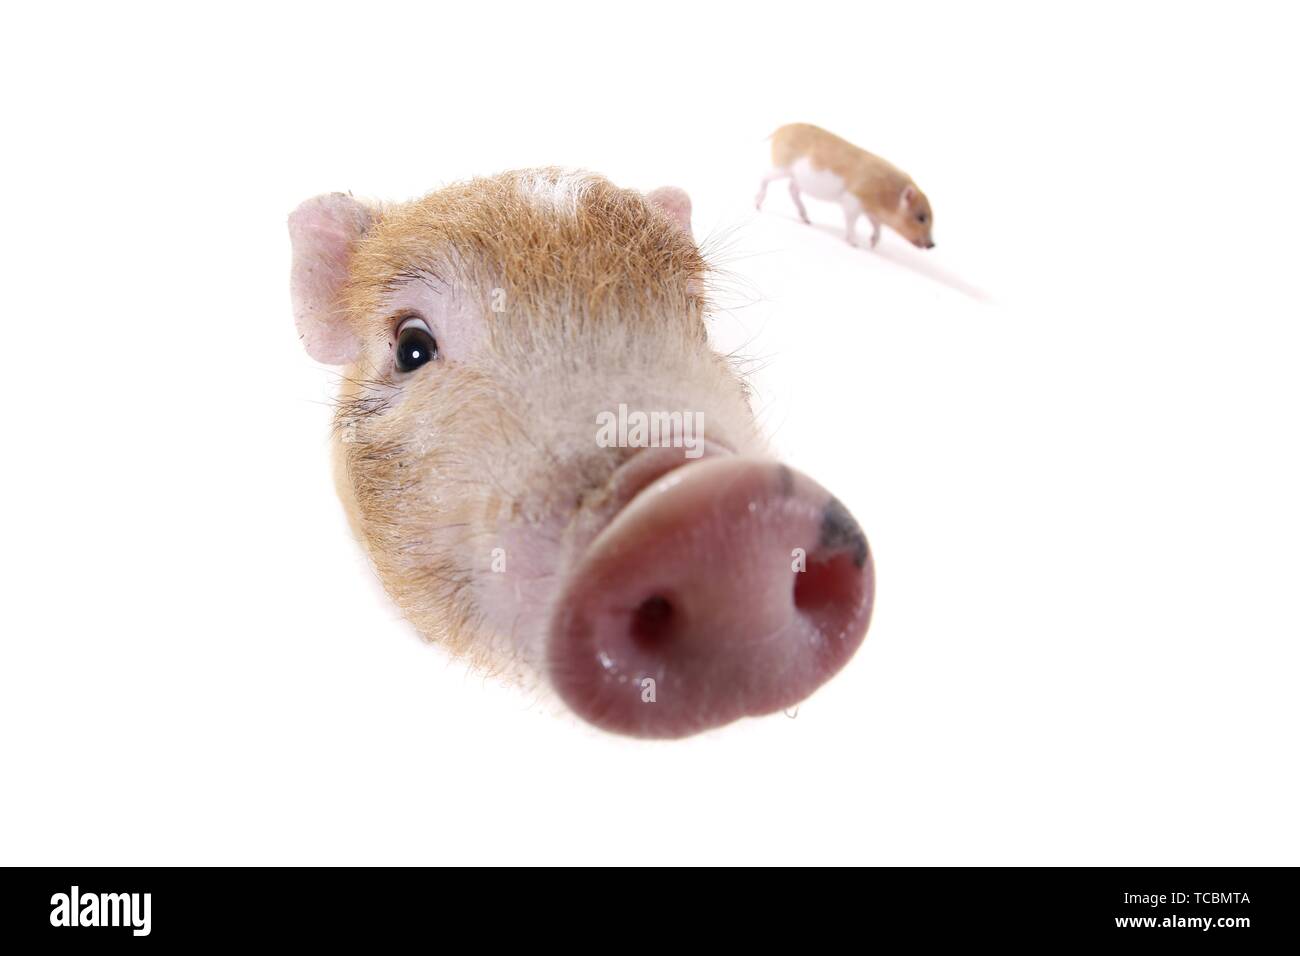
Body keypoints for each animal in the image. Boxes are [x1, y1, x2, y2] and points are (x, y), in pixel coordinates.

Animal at [756, 123, 936, 250]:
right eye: (921, 217)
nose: (932, 245)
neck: (886, 195)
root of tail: (780, 130)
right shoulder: (852, 200)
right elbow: (851, 222)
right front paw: (855, 245)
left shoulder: (871, 212)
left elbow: (877, 226)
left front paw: (873, 245)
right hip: (781, 166)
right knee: (765, 176)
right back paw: (757, 206)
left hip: (796, 178)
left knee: (792, 189)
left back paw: (807, 221)